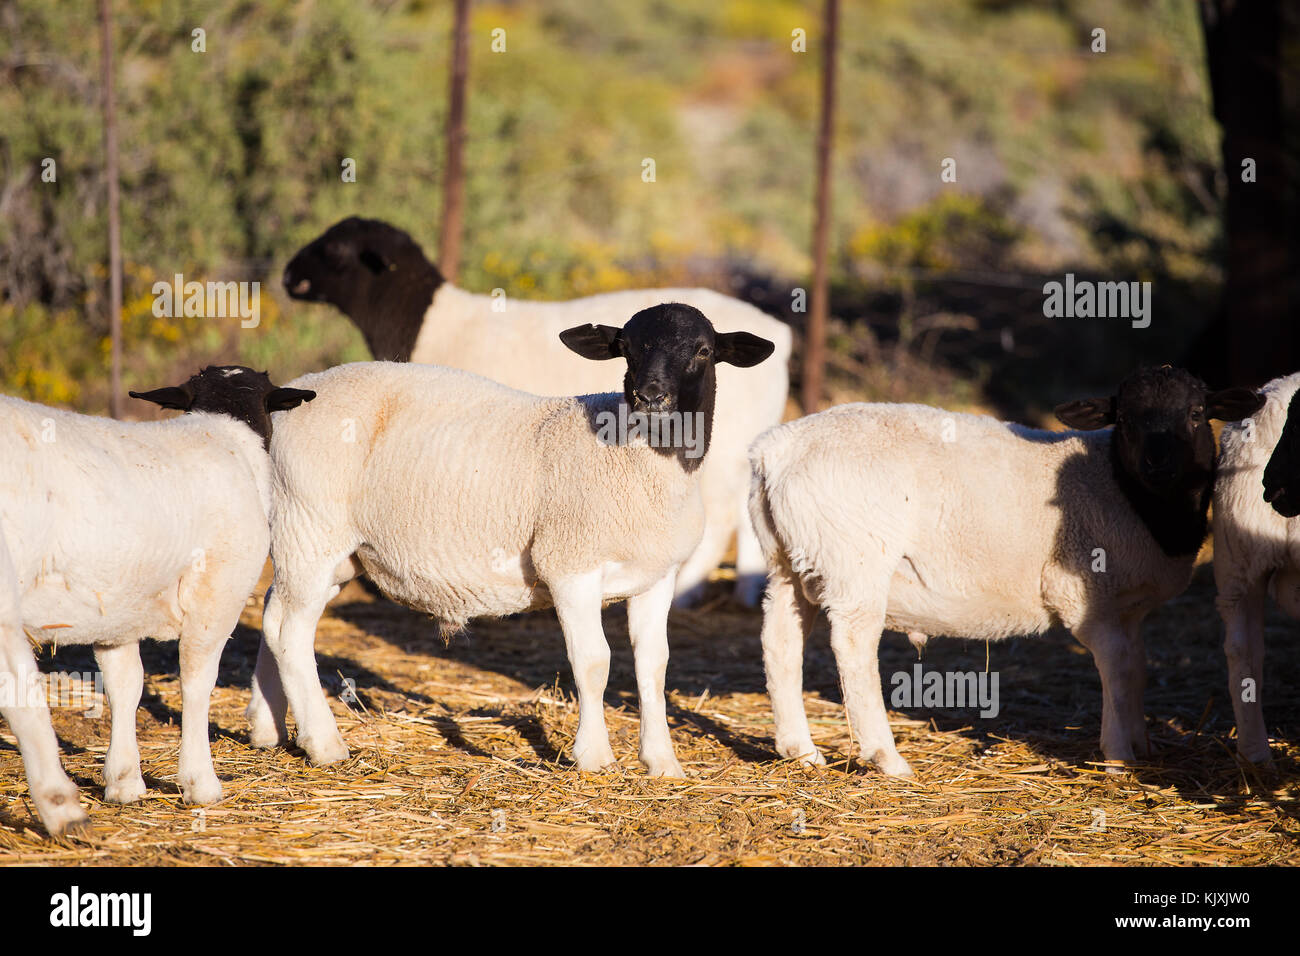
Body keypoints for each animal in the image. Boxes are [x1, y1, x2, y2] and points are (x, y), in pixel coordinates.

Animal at [0, 367, 314, 814]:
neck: (226, 434)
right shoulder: (217, 595)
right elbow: (197, 683)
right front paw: (200, 782)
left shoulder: (119, 606)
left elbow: (124, 685)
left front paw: (124, 782)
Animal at [246, 303, 775, 775]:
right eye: (626, 348)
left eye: (703, 350)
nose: (651, 396)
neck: (639, 457)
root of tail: (291, 400)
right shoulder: (569, 565)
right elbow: (593, 662)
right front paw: (594, 757)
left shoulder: (657, 575)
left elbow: (654, 665)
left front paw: (662, 762)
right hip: (311, 525)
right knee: (289, 632)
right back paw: (324, 744)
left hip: (325, 545)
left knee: (273, 615)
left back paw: (266, 727)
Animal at [281, 216, 792, 607]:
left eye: (335, 250)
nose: (286, 277)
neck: (429, 322)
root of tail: (781, 336)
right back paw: (749, 591)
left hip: (726, 445)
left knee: (723, 517)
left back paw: (690, 591)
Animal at [748, 366, 1262, 775]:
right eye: (1128, 420)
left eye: (1196, 412)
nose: (1159, 464)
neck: (1126, 488)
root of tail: (775, 449)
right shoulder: (1085, 597)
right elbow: (1117, 668)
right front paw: (1118, 756)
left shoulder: (1127, 607)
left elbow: (1136, 668)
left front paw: (1142, 744)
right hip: (855, 562)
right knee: (853, 645)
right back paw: (886, 758)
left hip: (788, 563)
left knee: (780, 641)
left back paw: (800, 750)